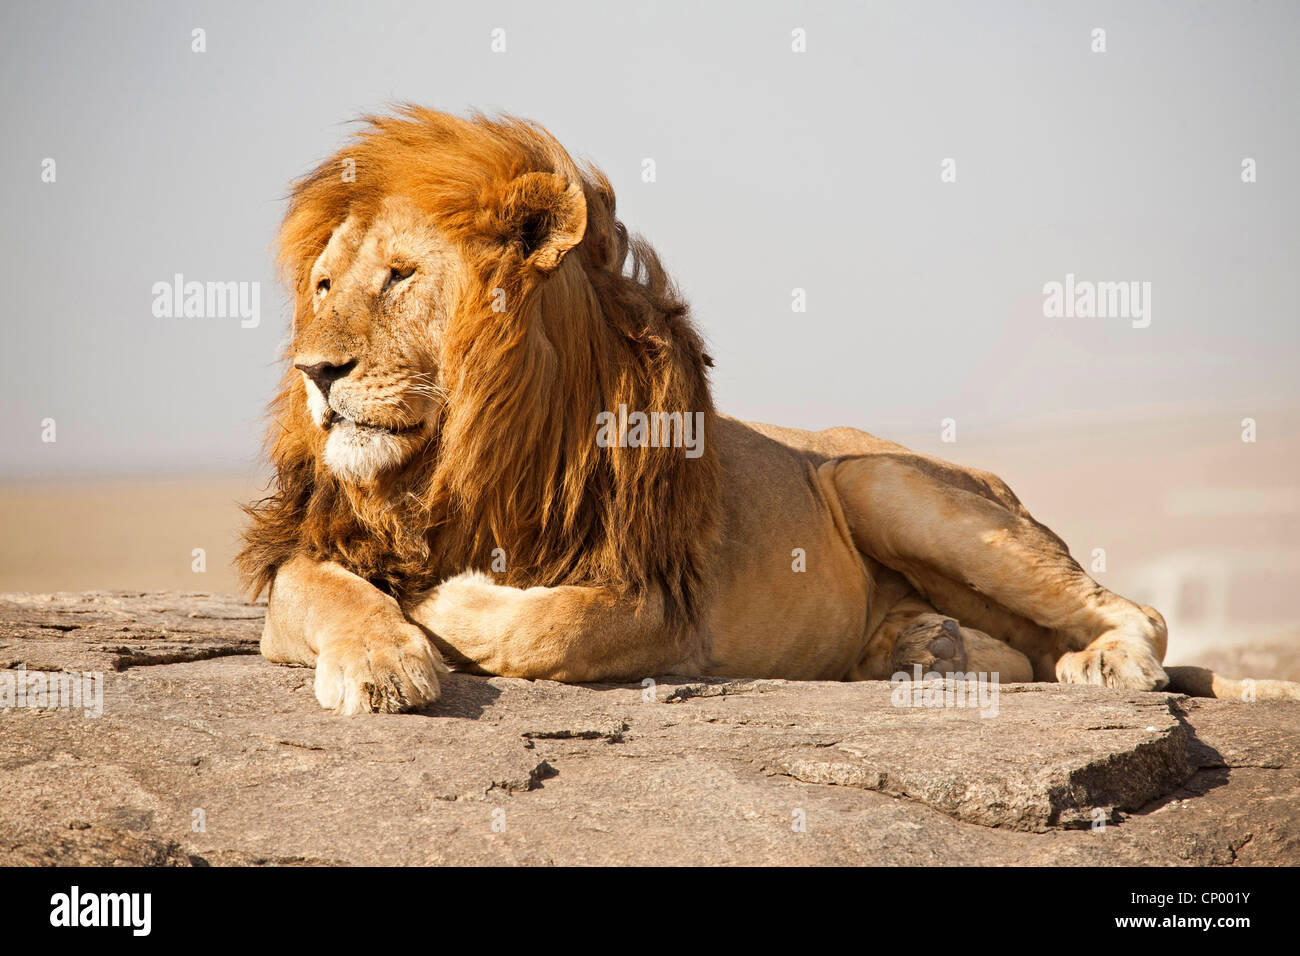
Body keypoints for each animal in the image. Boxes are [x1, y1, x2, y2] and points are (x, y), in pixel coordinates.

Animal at [240, 106, 1299, 715]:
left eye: (401, 277)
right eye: (324, 284)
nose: (315, 371)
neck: (452, 461)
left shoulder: (664, 611)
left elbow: (553, 628)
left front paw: (442, 608)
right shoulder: (314, 557)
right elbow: (326, 590)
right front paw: (384, 661)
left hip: (878, 480)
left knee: (1139, 613)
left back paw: (1098, 665)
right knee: (1023, 647)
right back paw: (922, 647)